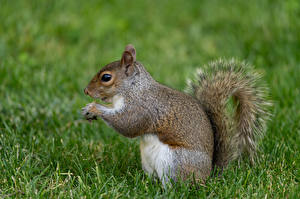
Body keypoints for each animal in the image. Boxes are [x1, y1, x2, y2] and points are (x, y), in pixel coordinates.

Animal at [81, 44, 270, 186]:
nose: (86, 91)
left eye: (106, 77)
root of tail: (208, 176)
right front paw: (88, 110)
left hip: (175, 162)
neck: (134, 88)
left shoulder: (142, 108)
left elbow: (127, 124)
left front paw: (95, 108)